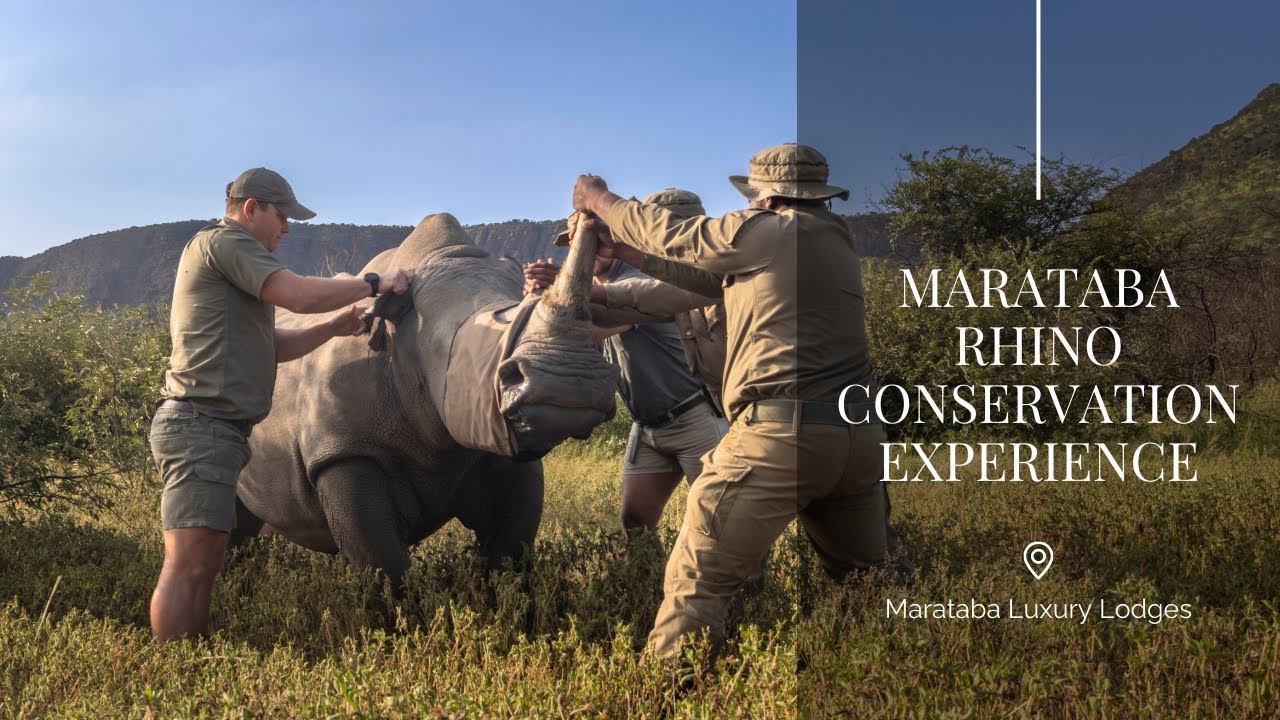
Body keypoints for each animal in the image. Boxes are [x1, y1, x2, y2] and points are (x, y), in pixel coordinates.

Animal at [233, 213, 617, 589]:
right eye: (461, 357)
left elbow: (510, 552)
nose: (568, 381)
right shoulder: (345, 449)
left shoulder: (498, 439)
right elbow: (384, 568)